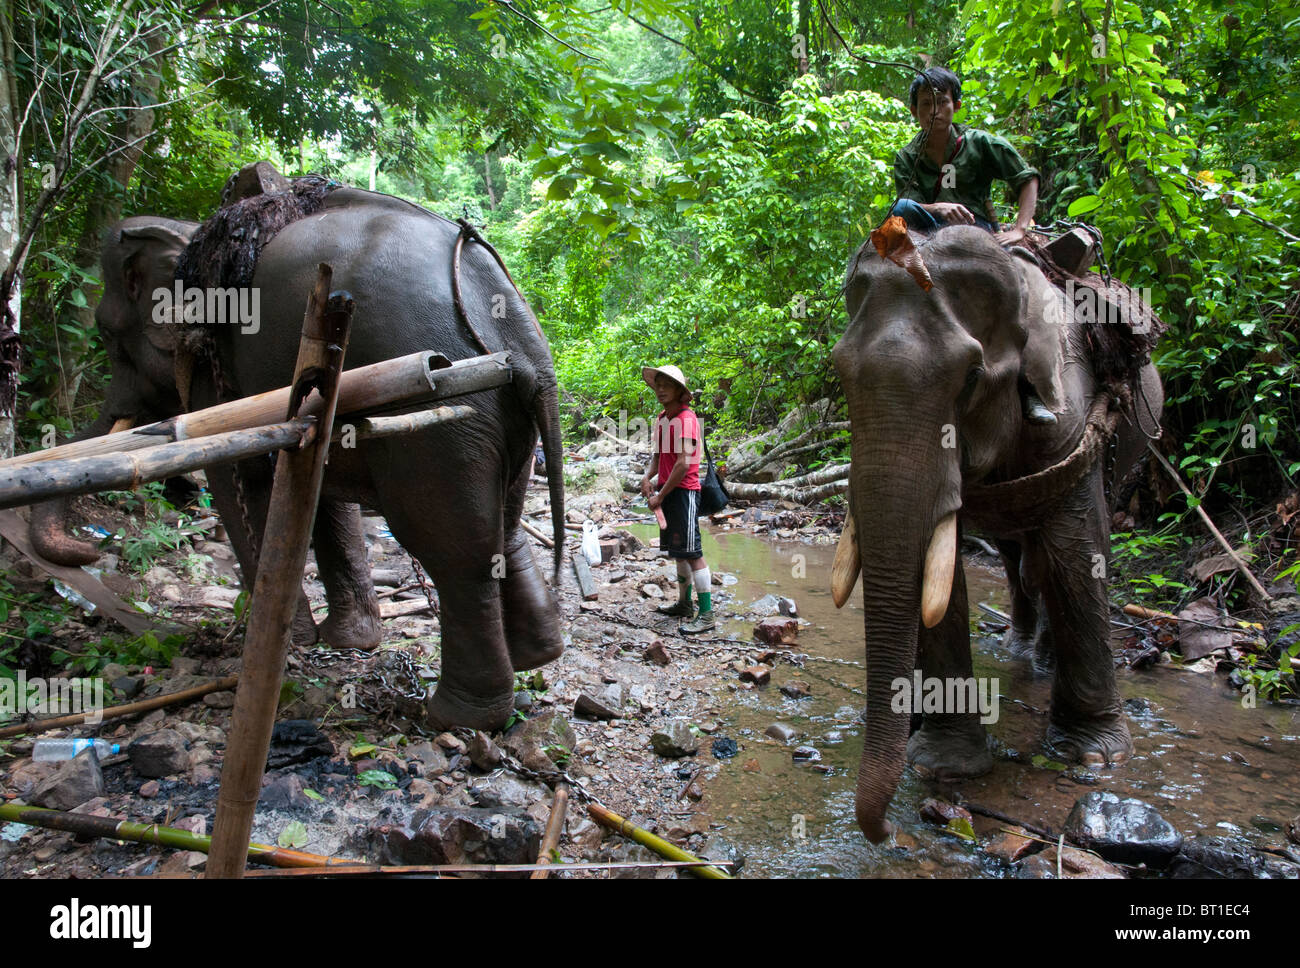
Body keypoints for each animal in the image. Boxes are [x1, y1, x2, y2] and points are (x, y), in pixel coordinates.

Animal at [31, 166, 568, 732]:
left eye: (110, 338)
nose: (89, 551)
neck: (190, 232)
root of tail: (504, 311)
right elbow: (321, 482)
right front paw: (347, 640)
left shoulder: (214, 371)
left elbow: (243, 478)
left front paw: (276, 640)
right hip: (502, 415)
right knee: (503, 527)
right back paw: (537, 657)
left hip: (444, 417)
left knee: (453, 549)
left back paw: (456, 716)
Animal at [830, 224, 1163, 843]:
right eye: (839, 373)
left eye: (970, 378)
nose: (886, 833)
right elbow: (944, 576)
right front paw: (944, 765)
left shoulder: (1074, 418)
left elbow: (1078, 554)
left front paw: (1094, 755)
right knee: (1015, 559)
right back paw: (1018, 648)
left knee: (1051, 560)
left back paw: (1043, 664)